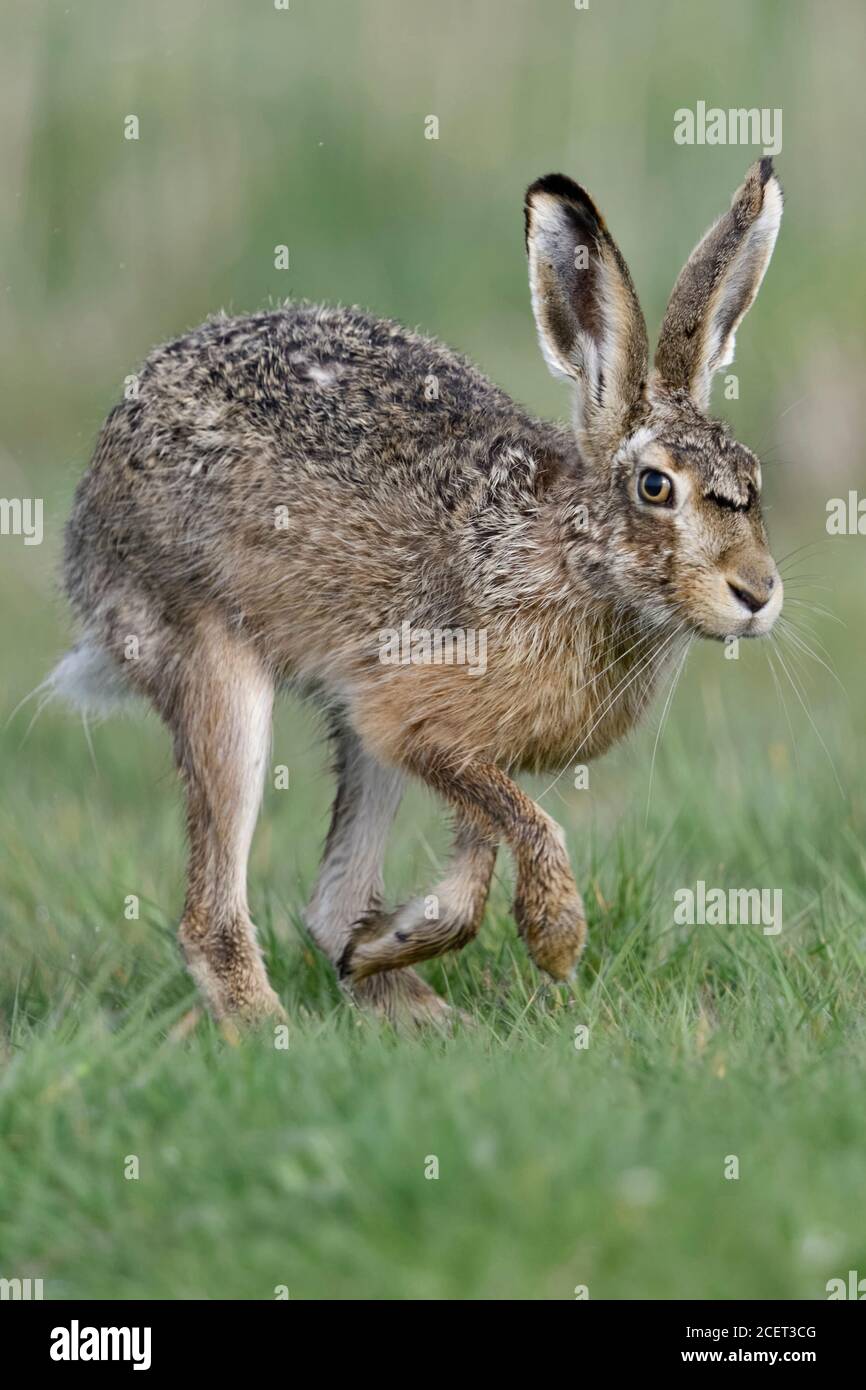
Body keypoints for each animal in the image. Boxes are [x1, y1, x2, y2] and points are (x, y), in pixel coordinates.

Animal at [56, 157, 784, 1028]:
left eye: (752, 478)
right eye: (655, 487)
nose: (759, 592)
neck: (572, 556)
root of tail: (89, 515)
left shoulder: (446, 745)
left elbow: (479, 856)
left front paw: (390, 942)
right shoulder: (417, 717)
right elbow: (527, 825)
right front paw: (557, 939)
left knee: (331, 901)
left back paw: (415, 1008)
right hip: (211, 658)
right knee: (211, 913)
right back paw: (275, 1029)